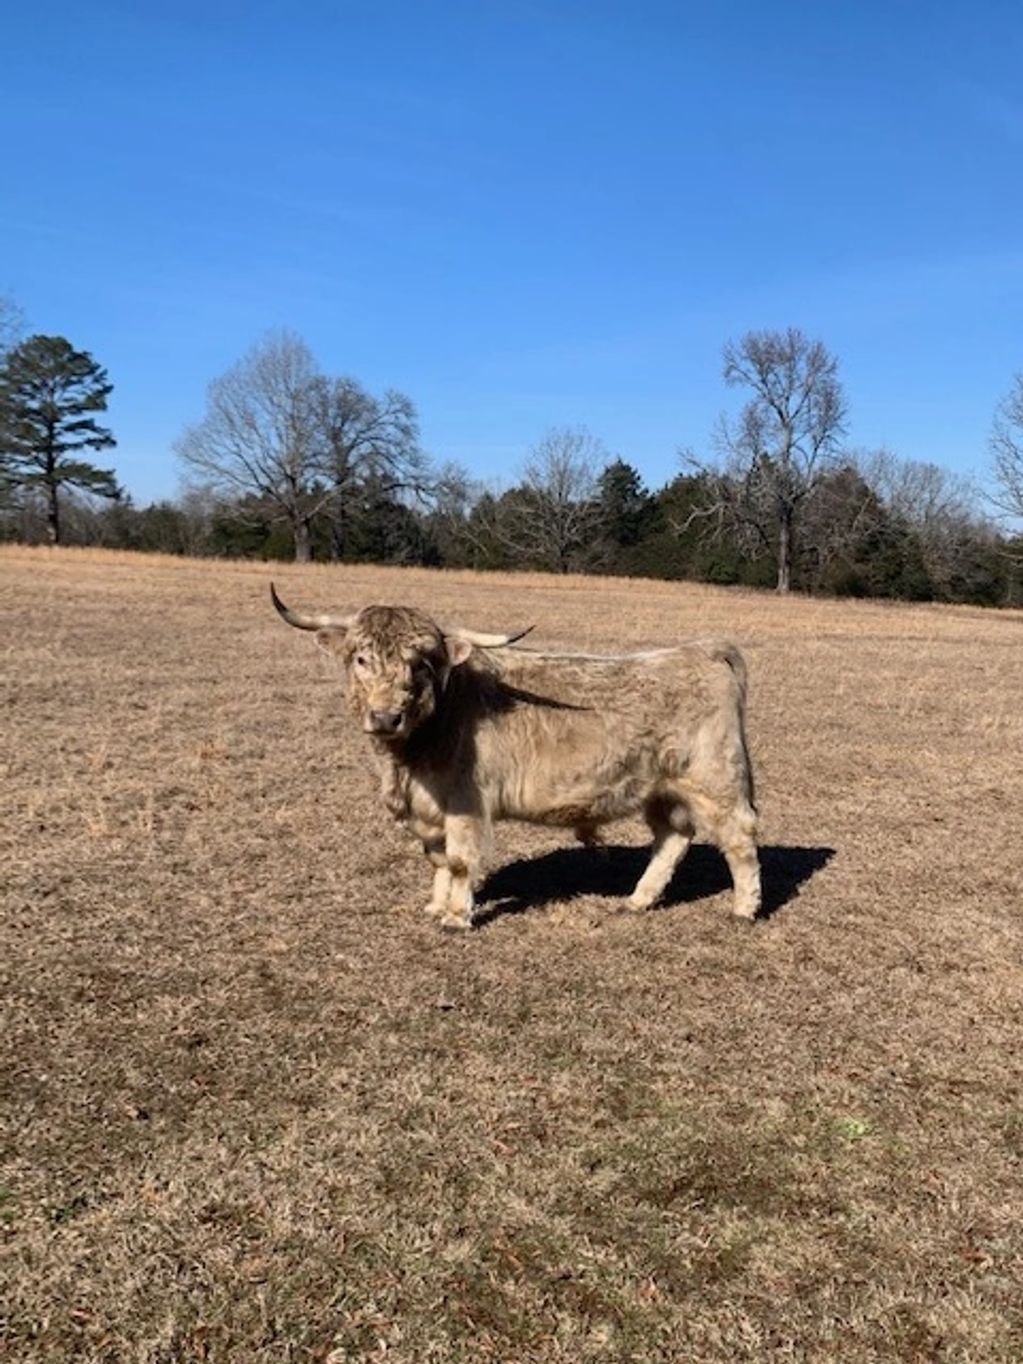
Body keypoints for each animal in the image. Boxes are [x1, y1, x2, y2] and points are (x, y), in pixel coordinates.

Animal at [271, 584, 761, 930]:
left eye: (421, 663)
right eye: (361, 658)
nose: (386, 716)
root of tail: (701, 650)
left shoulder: (466, 804)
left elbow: (460, 860)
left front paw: (456, 917)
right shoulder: (429, 811)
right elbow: (438, 859)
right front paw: (434, 905)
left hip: (715, 779)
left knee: (739, 838)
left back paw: (744, 909)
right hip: (661, 789)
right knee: (673, 838)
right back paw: (637, 901)